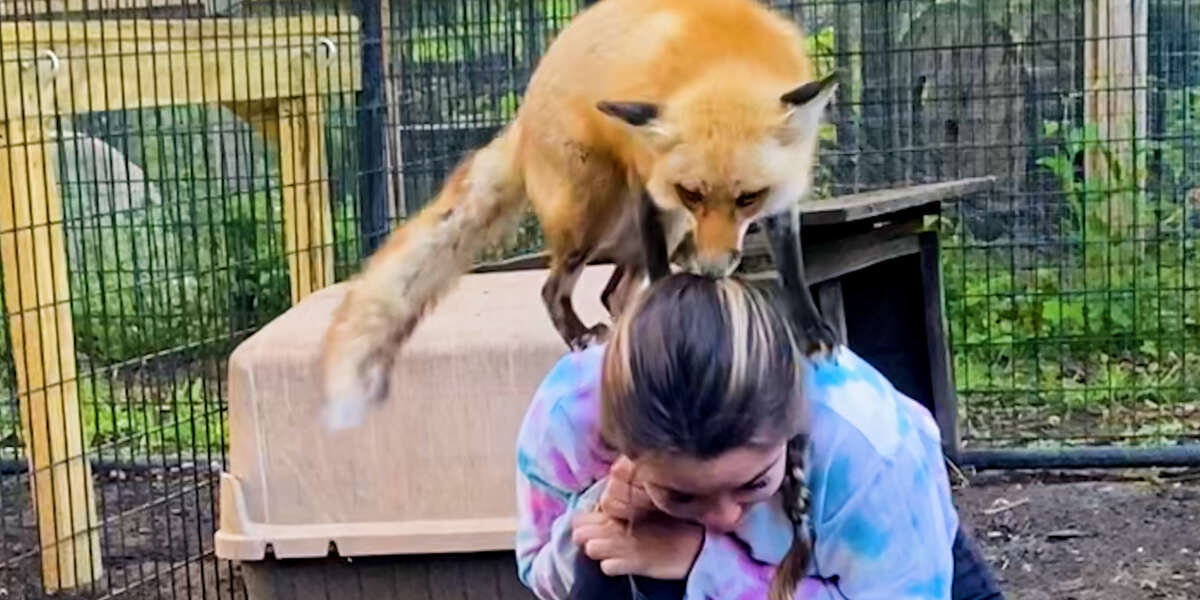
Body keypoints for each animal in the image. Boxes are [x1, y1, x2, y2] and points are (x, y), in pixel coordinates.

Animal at [320, 0, 841, 429]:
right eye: (691, 193)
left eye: (748, 199)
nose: (713, 272)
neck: (722, 57)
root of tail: (526, 108)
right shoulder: (650, 185)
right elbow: (659, 273)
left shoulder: (779, 200)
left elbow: (793, 270)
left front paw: (812, 332)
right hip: (594, 214)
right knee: (553, 289)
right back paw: (580, 334)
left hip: (651, 228)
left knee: (613, 294)